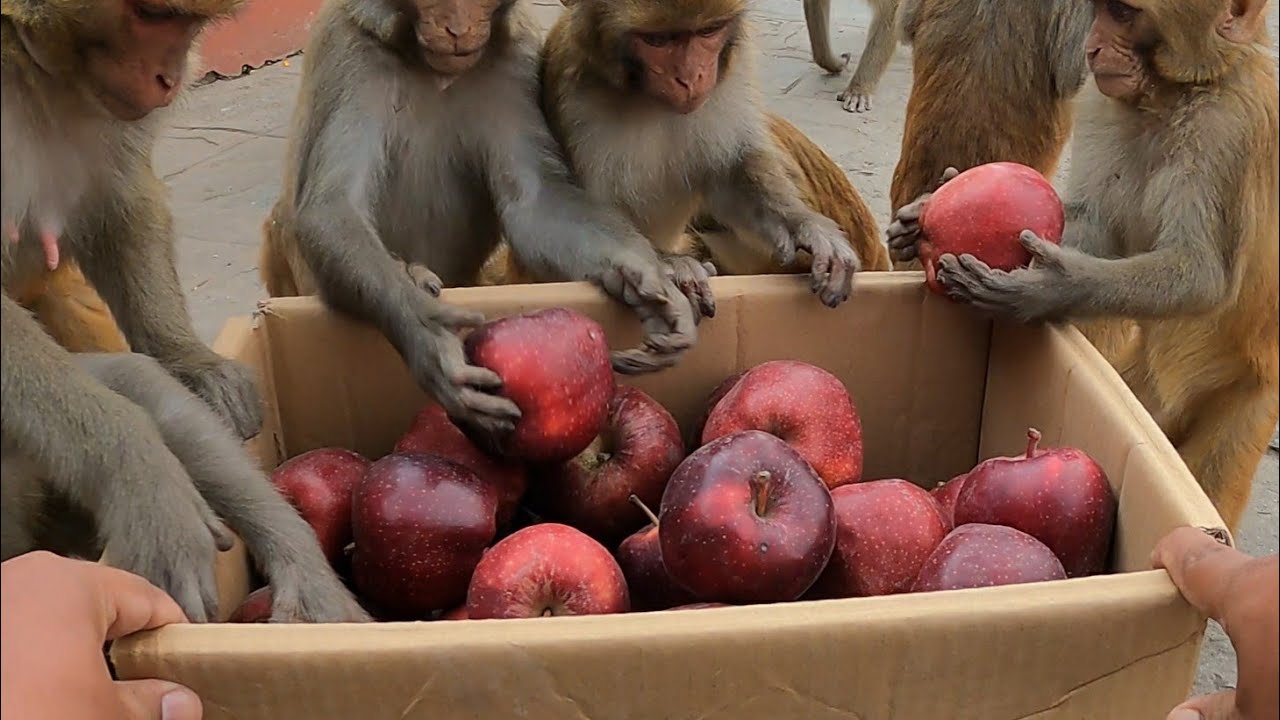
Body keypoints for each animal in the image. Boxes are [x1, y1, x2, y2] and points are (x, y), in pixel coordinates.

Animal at [2, 0, 366, 622]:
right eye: (150, 18)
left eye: (181, 24)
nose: (171, 77)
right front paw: (139, 473)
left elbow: (119, 198)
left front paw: (191, 363)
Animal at [258, 0, 707, 434]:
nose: (457, 29)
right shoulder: (348, 47)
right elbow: (331, 208)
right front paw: (424, 327)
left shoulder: (516, 56)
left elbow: (535, 202)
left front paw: (644, 277)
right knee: (284, 219)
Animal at [519, 0, 862, 313]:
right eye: (657, 40)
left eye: (709, 31)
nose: (691, 77)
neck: (645, 98)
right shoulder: (574, 100)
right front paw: (670, 267)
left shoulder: (732, 73)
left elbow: (729, 173)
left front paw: (805, 226)